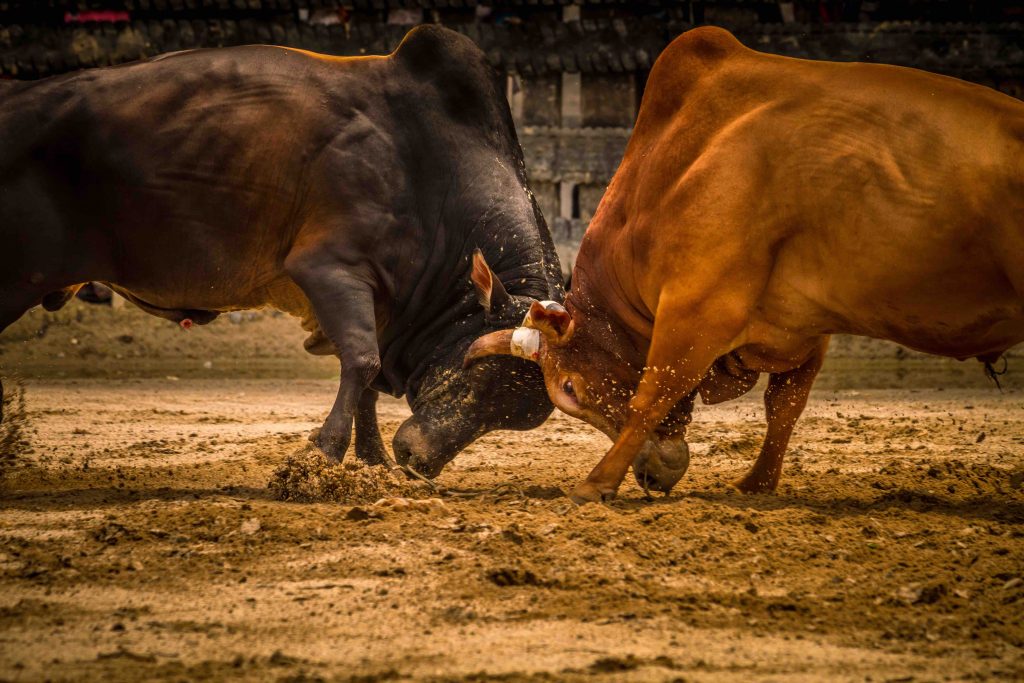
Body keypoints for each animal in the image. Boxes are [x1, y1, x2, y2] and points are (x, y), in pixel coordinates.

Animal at [0, 25, 565, 478]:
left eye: (512, 418)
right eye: (478, 373)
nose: (419, 461)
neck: (432, 178)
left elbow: (367, 380)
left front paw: (373, 460)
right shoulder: (332, 268)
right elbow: (362, 361)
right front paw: (322, 455)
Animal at [465, 26, 1024, 504]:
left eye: (569, 389)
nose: (653, 474)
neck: (669, 178)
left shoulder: (696, 310)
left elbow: (652, 395)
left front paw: (595, 484)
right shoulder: (801, 328)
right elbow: (785, 406)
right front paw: (757, 484)